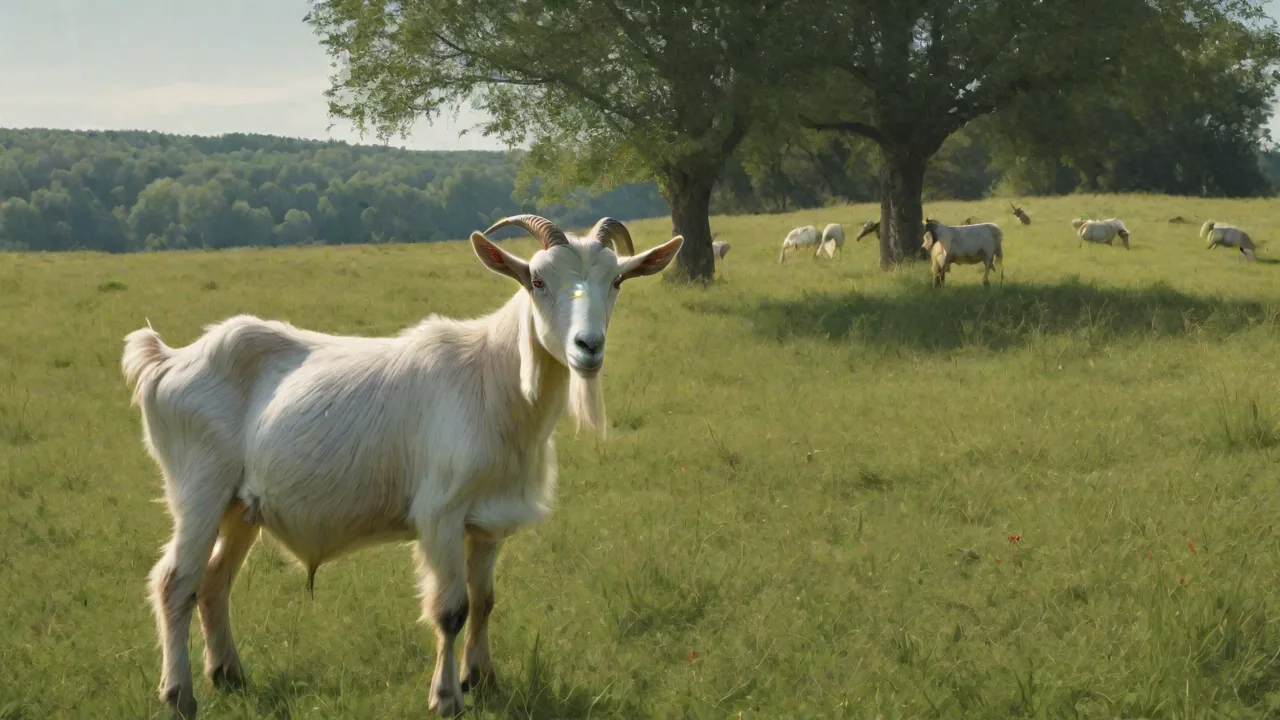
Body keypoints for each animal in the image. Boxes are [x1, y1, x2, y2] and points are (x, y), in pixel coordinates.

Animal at [121, 215, 683, 718]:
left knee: (214, 581)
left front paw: (482, 679)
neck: (493, 380)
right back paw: (180, 695)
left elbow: (484, 599)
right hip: (199, 489)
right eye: (538, 281)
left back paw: (229, 676)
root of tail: (166, 361)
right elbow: (451, 610)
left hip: (242, 505)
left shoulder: (487, 520)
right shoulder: (439, 514)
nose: (588, 347)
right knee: (176, 581)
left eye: (616, 280)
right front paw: (447, 698)